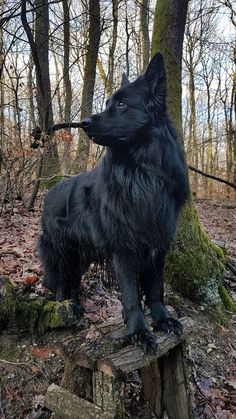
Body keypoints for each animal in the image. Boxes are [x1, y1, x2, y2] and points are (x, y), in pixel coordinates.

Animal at [39, 52, 190, 352]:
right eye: (108, 103)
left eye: (121, 104)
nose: (85, 122)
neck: (142, 173)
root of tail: (50, 191)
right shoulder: (124, 249)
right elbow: (131, 296)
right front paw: (139, 332)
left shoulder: (158, 244)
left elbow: (155, 288)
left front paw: (163, 320)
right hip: (63, 252)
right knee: (61, 282)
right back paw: (66, 308)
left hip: (81, 254)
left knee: (73, 282)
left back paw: (76, 306)